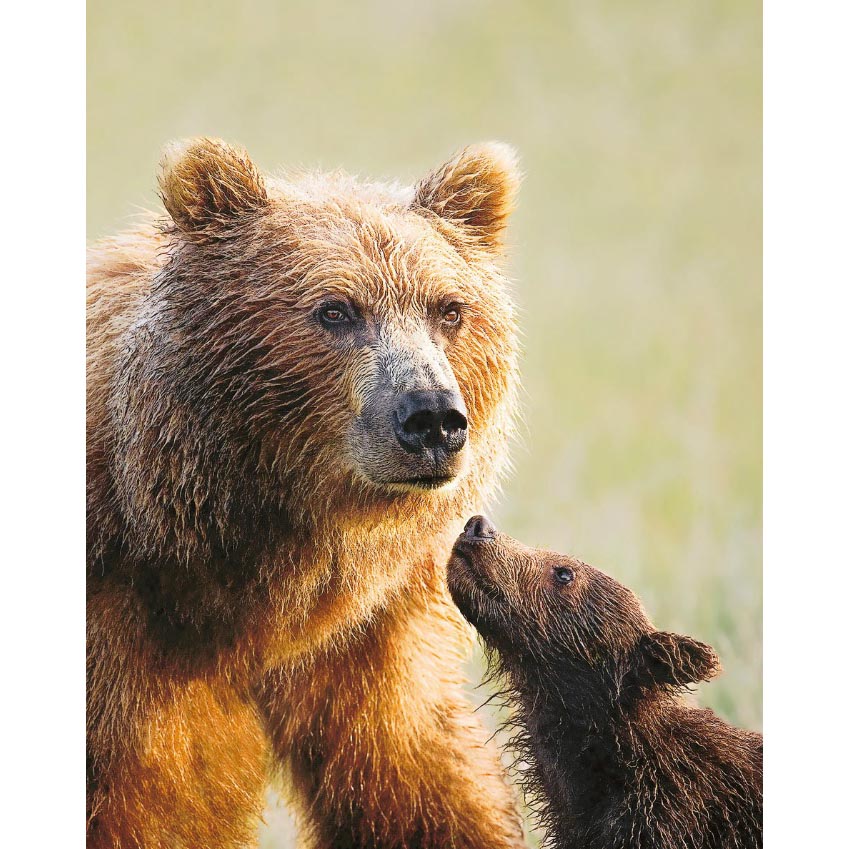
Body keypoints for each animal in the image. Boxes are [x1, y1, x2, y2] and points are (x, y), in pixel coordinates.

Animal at [87, 138, 526, 849]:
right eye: (336, 310)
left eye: (449, 309)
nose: (431, 418)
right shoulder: (123, 642)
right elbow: (143, 804)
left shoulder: (367, 639)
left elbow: (419, 776)